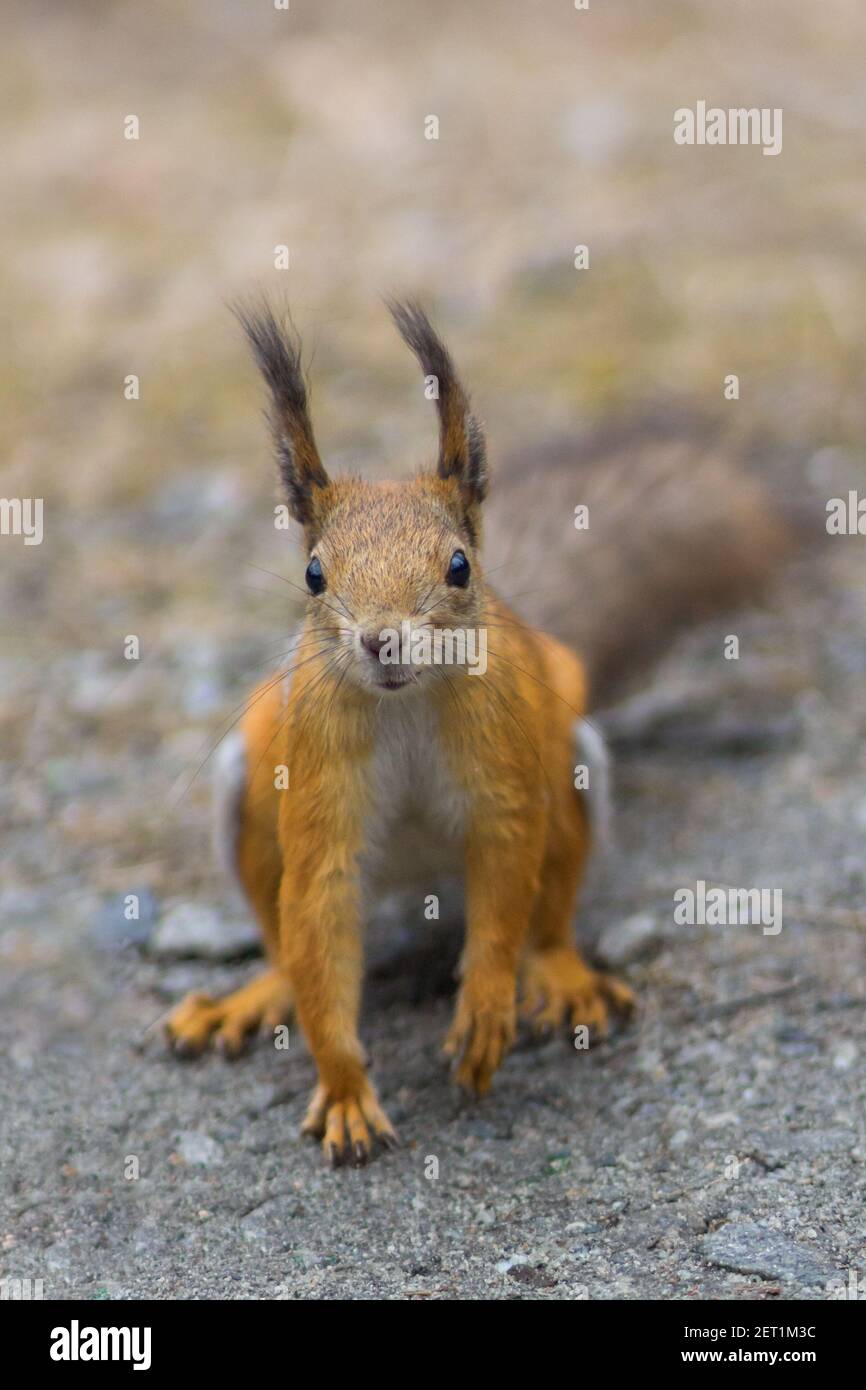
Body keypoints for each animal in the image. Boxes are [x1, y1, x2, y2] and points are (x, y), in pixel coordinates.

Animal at [165, 299, 792, 1166]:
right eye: (314, 575)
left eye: (459, 566)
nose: (382, 640)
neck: (406, 703)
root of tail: (421, 878)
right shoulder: (319, 783)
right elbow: (319, 914)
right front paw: (347, 1092)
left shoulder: (502, 774)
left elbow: (503, 886)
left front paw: (486, 1012)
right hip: (247, 796)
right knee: (286, 942)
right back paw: (258, 994)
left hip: (574, 774)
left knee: (546, 915)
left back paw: (562, 976)